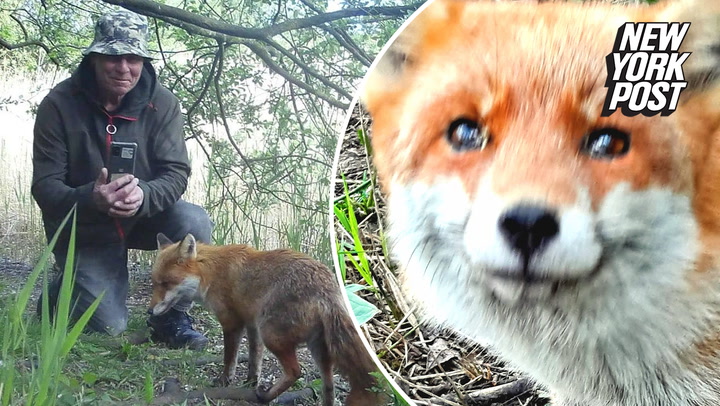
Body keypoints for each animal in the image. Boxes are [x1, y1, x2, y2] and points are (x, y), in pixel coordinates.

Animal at [148, 233, 389, 406]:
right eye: (155, 282)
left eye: (165, 283)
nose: (150, 312)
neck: (212, 272)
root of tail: (327, 288)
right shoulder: (251, 325)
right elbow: (255, 359)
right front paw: (250, 380)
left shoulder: (232, 323)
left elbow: (229, 359)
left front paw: (225, 381)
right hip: (317, 347)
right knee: (328, 386)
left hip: (272, 335)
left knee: (295, 372)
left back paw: (265, 396)